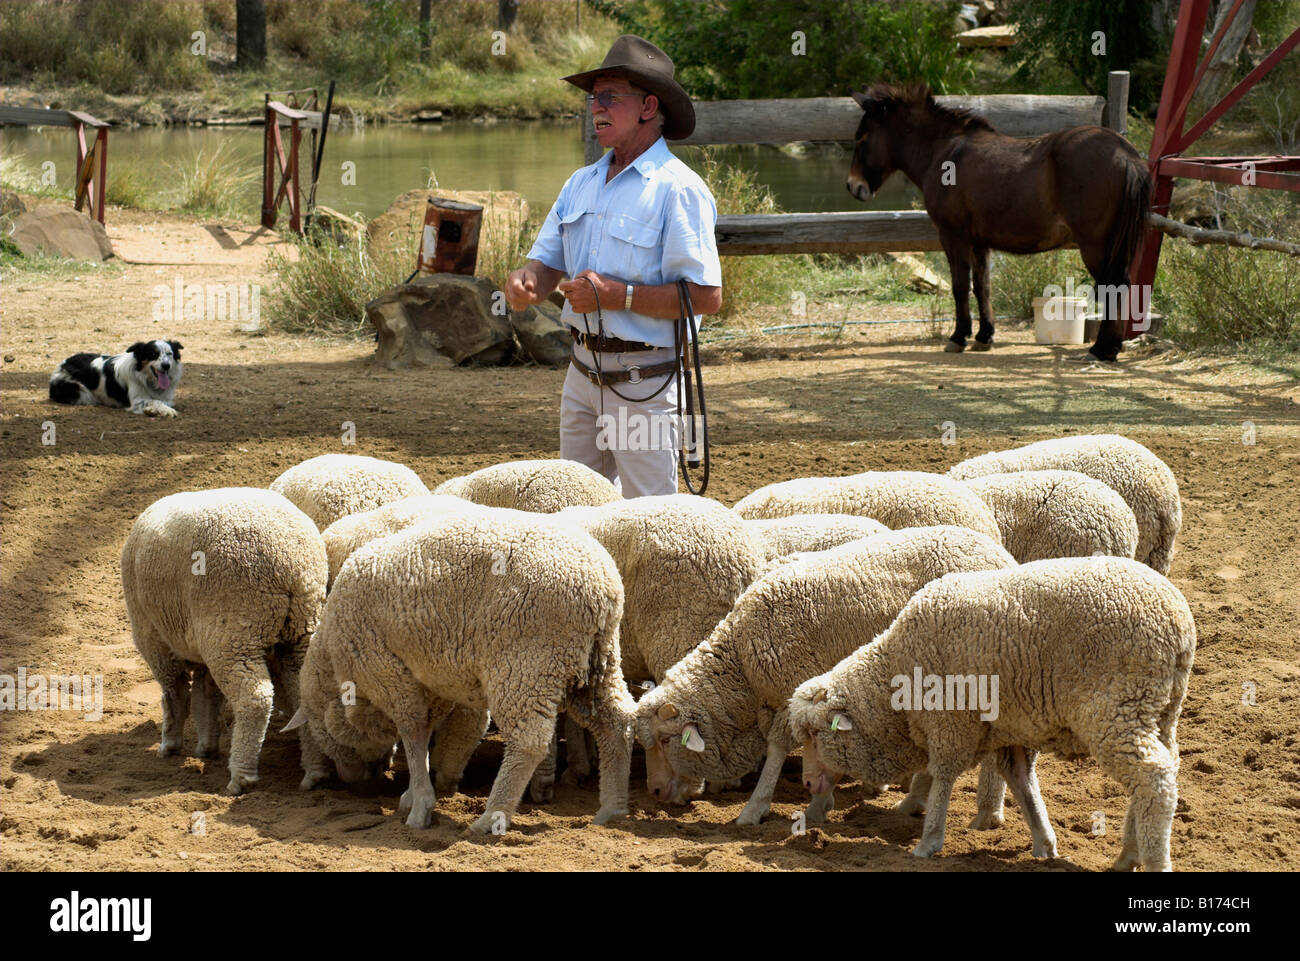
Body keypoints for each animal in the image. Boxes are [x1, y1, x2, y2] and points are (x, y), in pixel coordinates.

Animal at [121, 488, 329, 795]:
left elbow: (175, 692)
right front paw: (206, 746)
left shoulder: (153, 637)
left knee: (254, 698)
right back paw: (315, 772)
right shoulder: (197, 641)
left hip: (232, 631)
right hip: (301, 628)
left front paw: (169, 744)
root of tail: (289, 563)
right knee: (305, 692)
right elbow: (206, 695)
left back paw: (241, 775)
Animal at [283, 512, 636, 834]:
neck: (332, 654)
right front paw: (411, 794)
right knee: (616, 723)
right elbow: (424, 733)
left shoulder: (387, 673)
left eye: (324, 735)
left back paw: (490, 818)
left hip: (526, 664)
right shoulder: (429, 681)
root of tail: (601, 586)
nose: (351, 780)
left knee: (529, 742)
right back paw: (612, 809)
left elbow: (411, 732)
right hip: (594, 661)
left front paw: (420, 806)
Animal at [633, 525, 1017, 826]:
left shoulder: (795, 691)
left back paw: (987, 812)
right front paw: (819, 802)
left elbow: (779, 749)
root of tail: (1000, 554)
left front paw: (758, 808)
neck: (743, 662)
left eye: (665, 739)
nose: (654, 791)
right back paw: (917, 802)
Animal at [790, 556, 1195, 870]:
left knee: (1153, 778)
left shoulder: (950, 723)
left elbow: (943, 777)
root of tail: (1178, 623)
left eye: (816, 734)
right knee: (1163, 770)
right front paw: (1044, 843)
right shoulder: (1007, 734)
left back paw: (1149, 860)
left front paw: (928, 841)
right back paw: (1131, 852)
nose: (806, 784)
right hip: (1160, 711)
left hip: (1117, 707)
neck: (894, 677)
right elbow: (1022, 784)